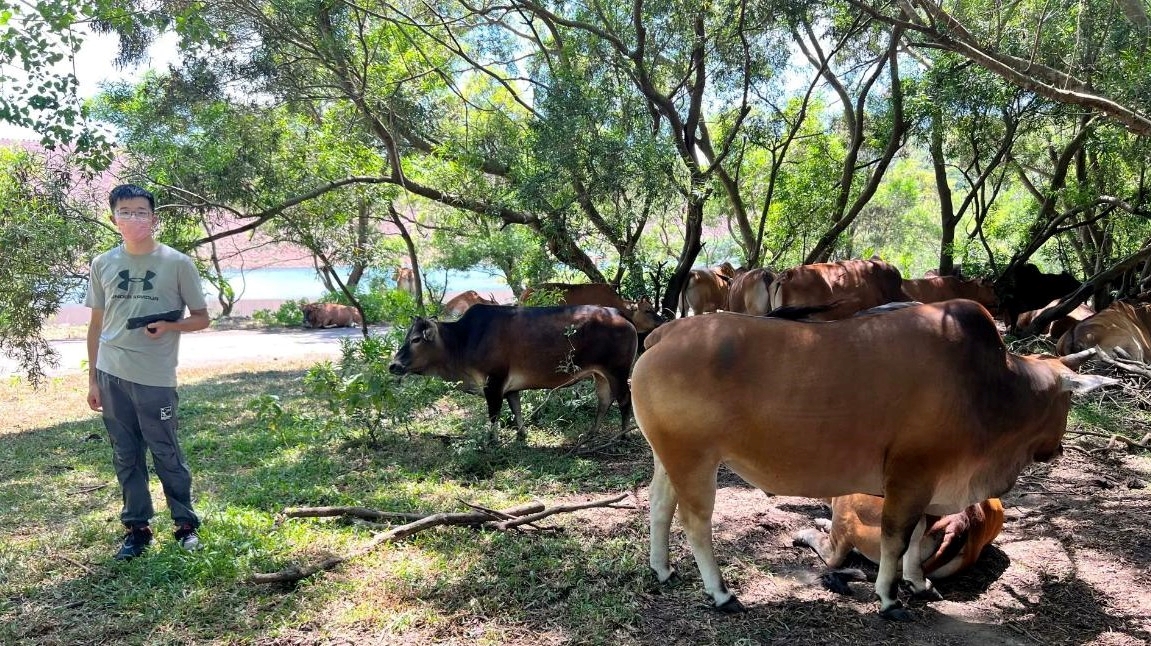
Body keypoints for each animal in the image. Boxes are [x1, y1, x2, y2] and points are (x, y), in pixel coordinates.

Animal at [388, 304, 638, 442]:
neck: (463, 340)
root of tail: (616, 312)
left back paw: (624, 434)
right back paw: (592, 433)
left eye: (416, 339)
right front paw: (521, 435)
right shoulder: (509, 388)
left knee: (625, 399)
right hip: (600, 374)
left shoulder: (493, 383)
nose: (393, 365)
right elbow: (516, 408)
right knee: (604, 401)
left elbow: (493, 415)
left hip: (617, 371)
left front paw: (492, 441)